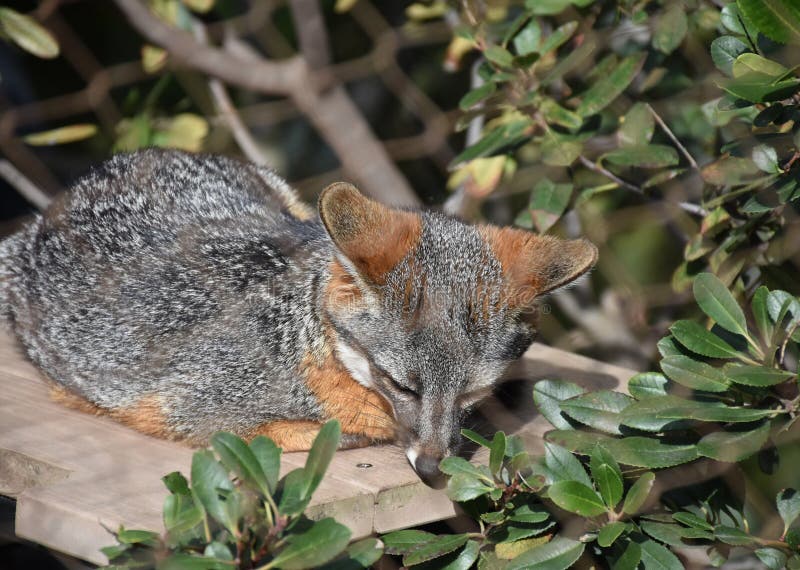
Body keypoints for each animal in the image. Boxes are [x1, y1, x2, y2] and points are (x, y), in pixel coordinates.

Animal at [0, 149, 597, 485]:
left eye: (473, 392)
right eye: (401, 384)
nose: (430, 471)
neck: (303, 342)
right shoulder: (191, 411)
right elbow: (302, 432)